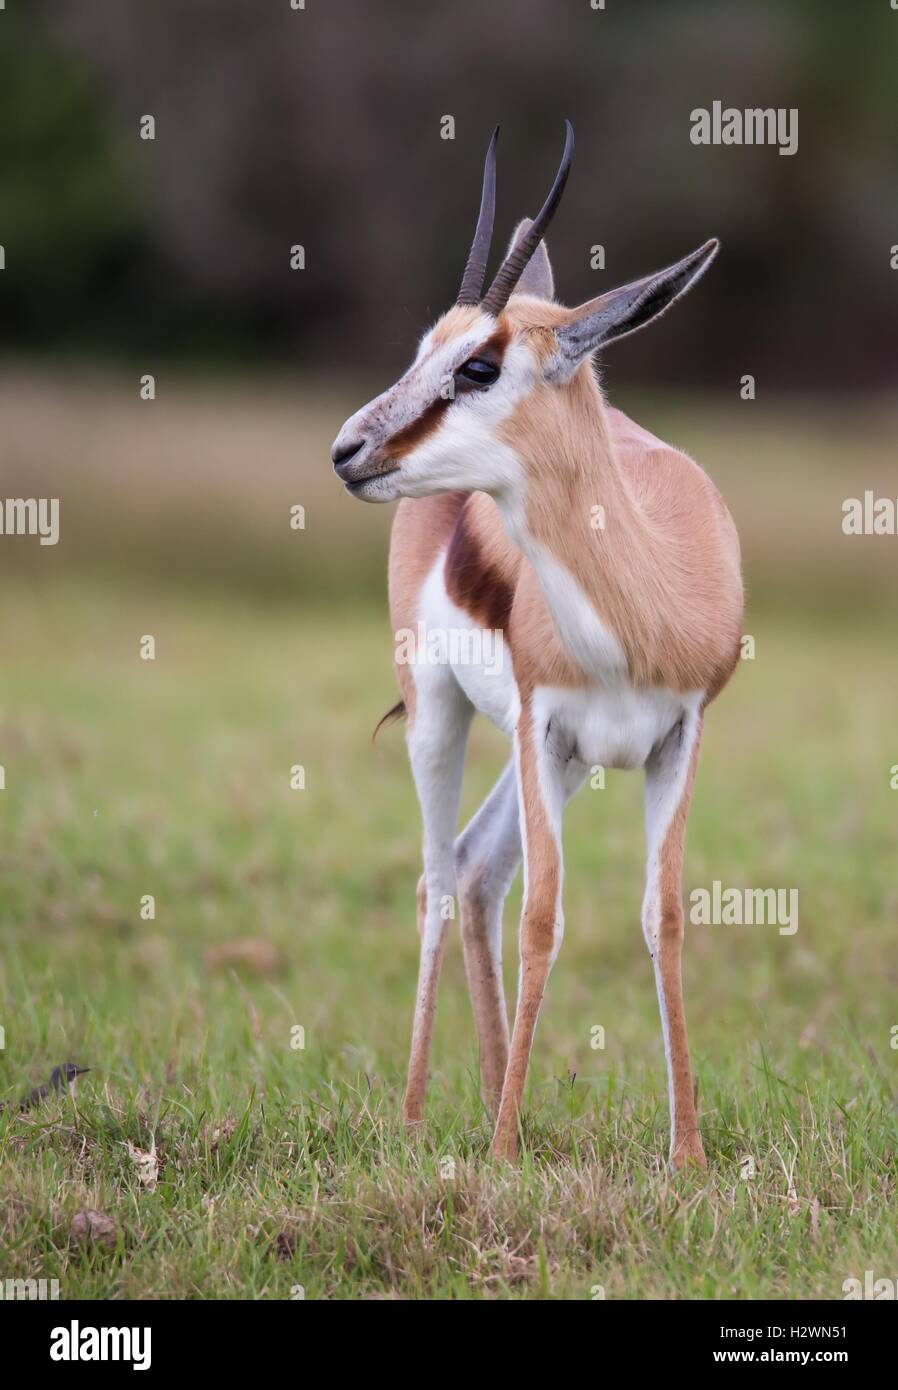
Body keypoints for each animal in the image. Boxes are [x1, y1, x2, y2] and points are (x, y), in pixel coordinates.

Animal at [331, 124, 743, 1166]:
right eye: (423, 352)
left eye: (478, 366)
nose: (348, 450)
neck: (648, 600)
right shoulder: (539, 721)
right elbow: (546, 919)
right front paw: (506, 1154)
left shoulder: (677, 737)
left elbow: (664, 915)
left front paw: (687, 1156)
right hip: (448, 719)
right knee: (440, 878)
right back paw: (421, 1115)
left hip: (562, 761)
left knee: (478, 870)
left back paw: (483, 1097)